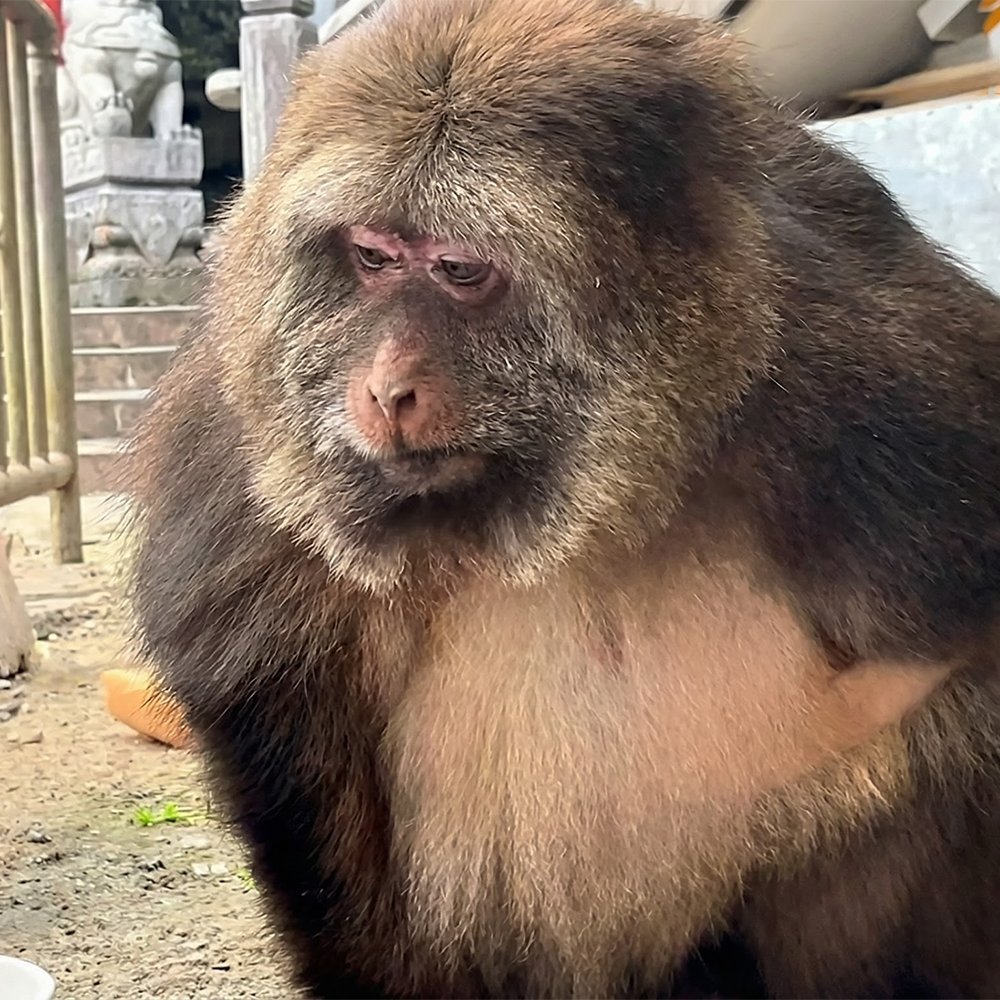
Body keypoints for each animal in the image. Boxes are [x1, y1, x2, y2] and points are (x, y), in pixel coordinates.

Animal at [120, 0, 1000, 996]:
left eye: (461, 271)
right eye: (374, 256)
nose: (386, 389)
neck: (604, 496)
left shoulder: (884, 378)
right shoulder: (240, 437)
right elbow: (273, 707)